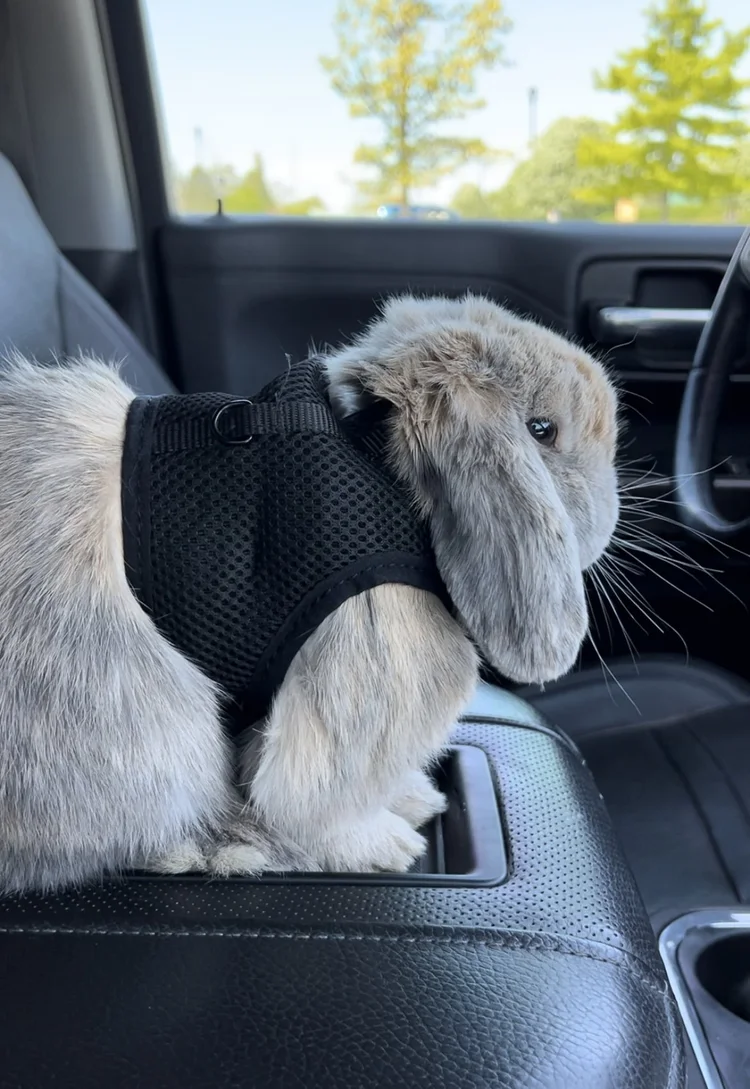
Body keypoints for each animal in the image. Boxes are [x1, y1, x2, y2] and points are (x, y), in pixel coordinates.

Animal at [0, 293, 619, 892]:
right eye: (542, 430)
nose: (610, 517)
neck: (377, 458)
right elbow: (310, 804)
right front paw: (389, 844)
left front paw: (417, 797)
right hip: (161, 740)